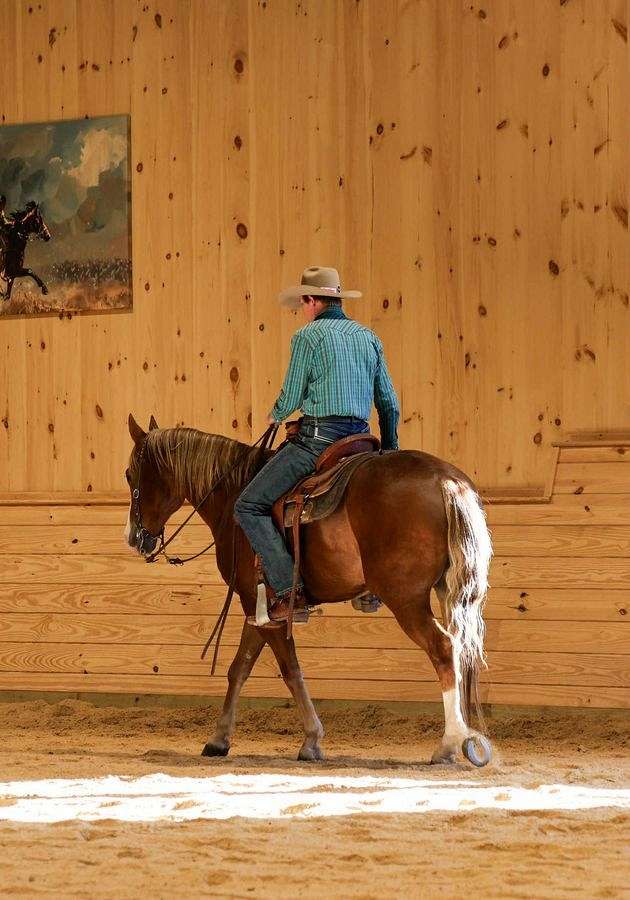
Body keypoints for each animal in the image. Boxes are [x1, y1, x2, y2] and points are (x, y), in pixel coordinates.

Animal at [124, 414, 494, 767]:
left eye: (129, 475)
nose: (133, 538)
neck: (231, 495)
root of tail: (446, 481)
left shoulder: (265, 607)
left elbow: (290, 669)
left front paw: (311, 740)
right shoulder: (257, 606)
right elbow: (239, 668)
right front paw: (219, 739)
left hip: (407, 600)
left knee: (443, 649)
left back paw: (449, 744)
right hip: (450, 593)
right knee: (462, 649)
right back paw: (466, 737)